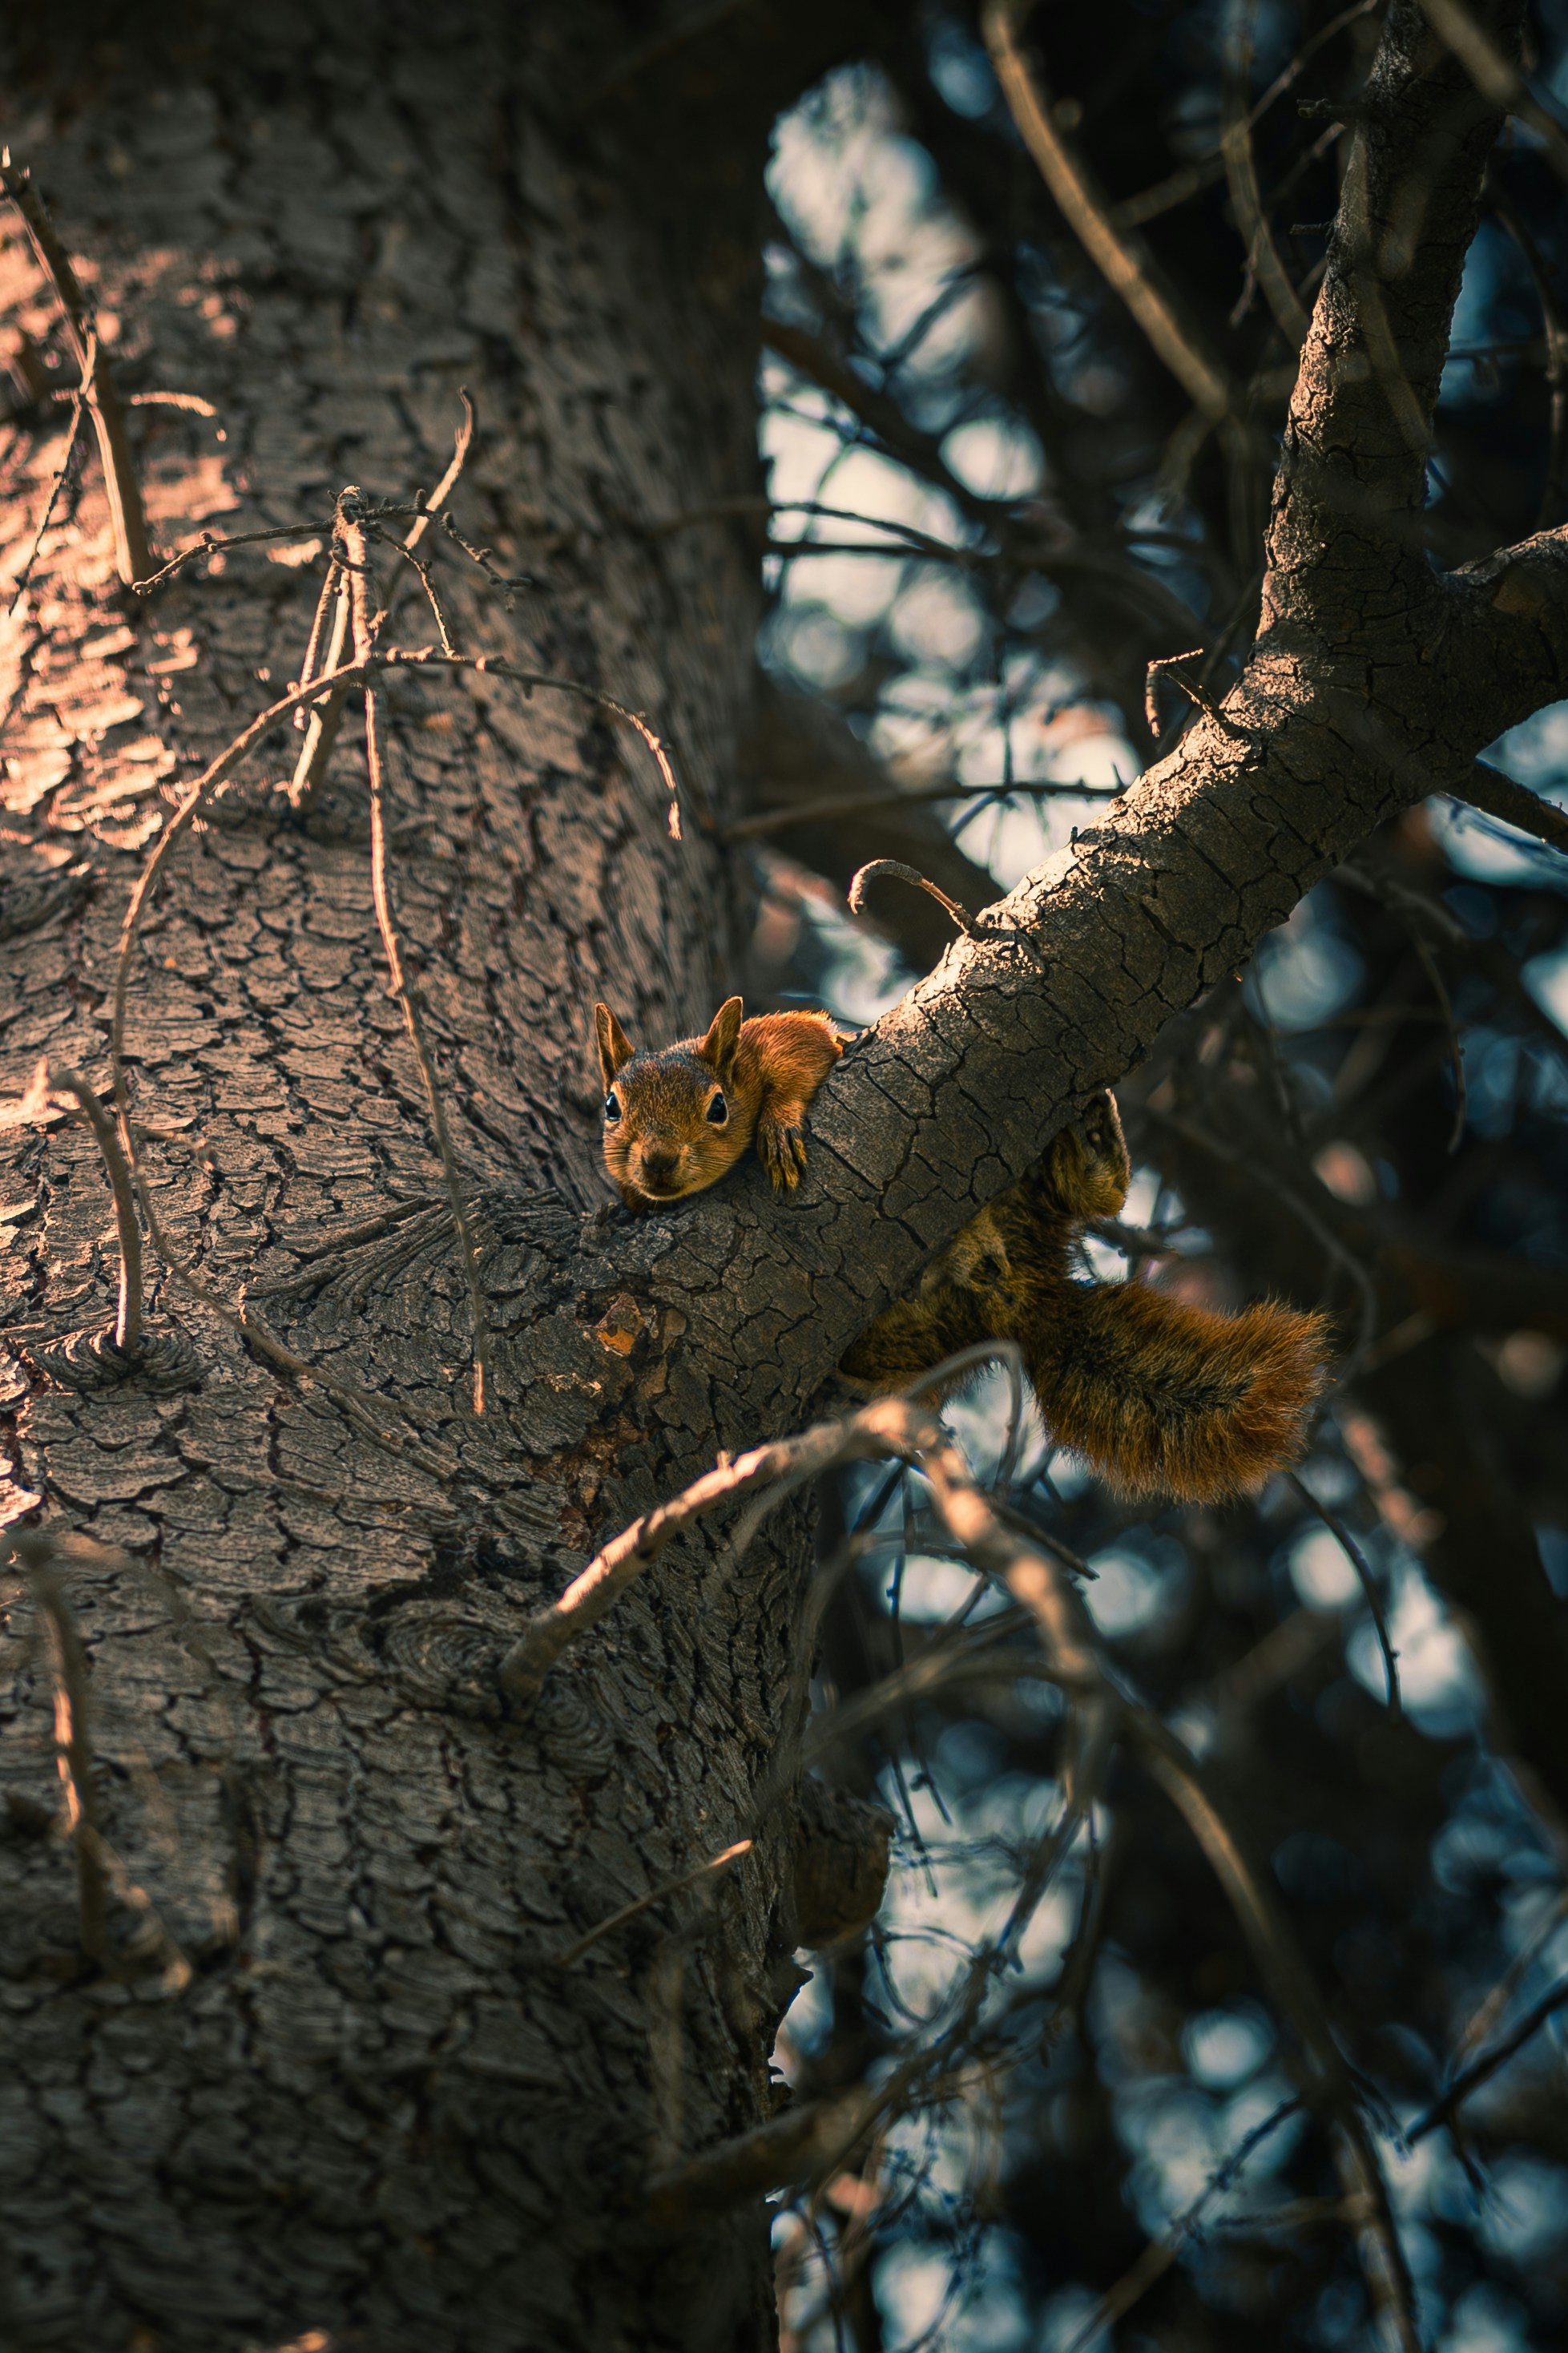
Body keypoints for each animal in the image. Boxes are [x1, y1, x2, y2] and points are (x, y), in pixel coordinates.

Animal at [594, 995, 842, 1211]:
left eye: (718, 1108)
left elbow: (806, 1043)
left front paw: (778, 1128)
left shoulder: (772, 1038)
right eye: (611, 1107)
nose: (659, 1161)